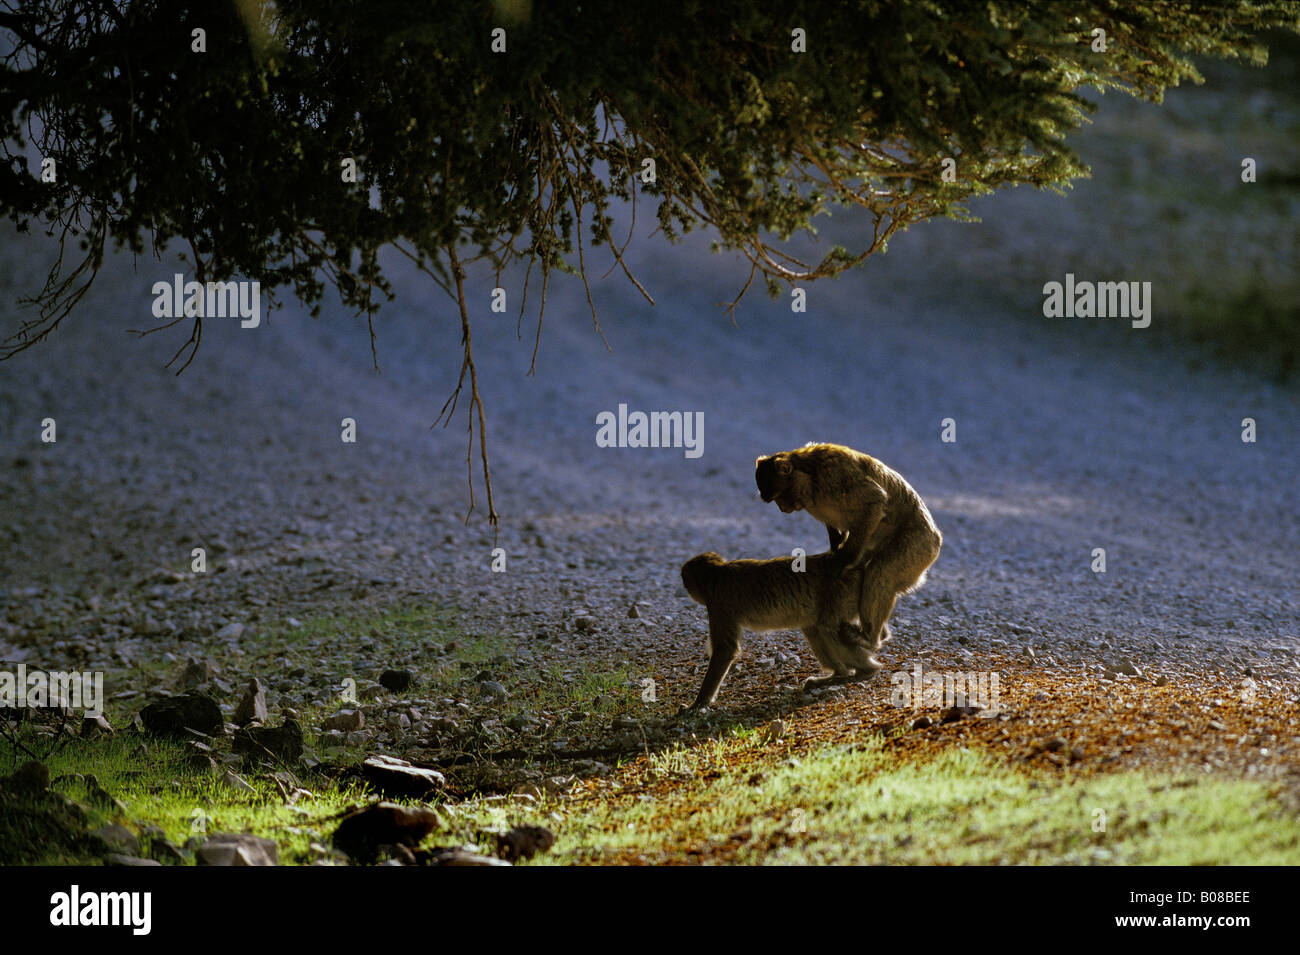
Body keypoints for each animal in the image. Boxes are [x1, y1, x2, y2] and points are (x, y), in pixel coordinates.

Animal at [679, 550, 883, 710]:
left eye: (686, 581)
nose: (686, 589)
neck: (718, 574)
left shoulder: (719, 603)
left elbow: (725, 650)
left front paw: (698, 703)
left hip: (843, 594)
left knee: (826, 627)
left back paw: (866, 670)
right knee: (814, 627)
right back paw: (839, 674)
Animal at [755, 443, 942, 650]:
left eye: (780, 497)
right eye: (776, 501)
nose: (783, 509)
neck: (811, 477)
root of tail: (936, 538)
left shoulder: (834, 476)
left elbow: (874, 501)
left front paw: (843, 560)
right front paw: (836, 551)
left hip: (920, 545)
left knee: (880, 572)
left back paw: (870, 638)